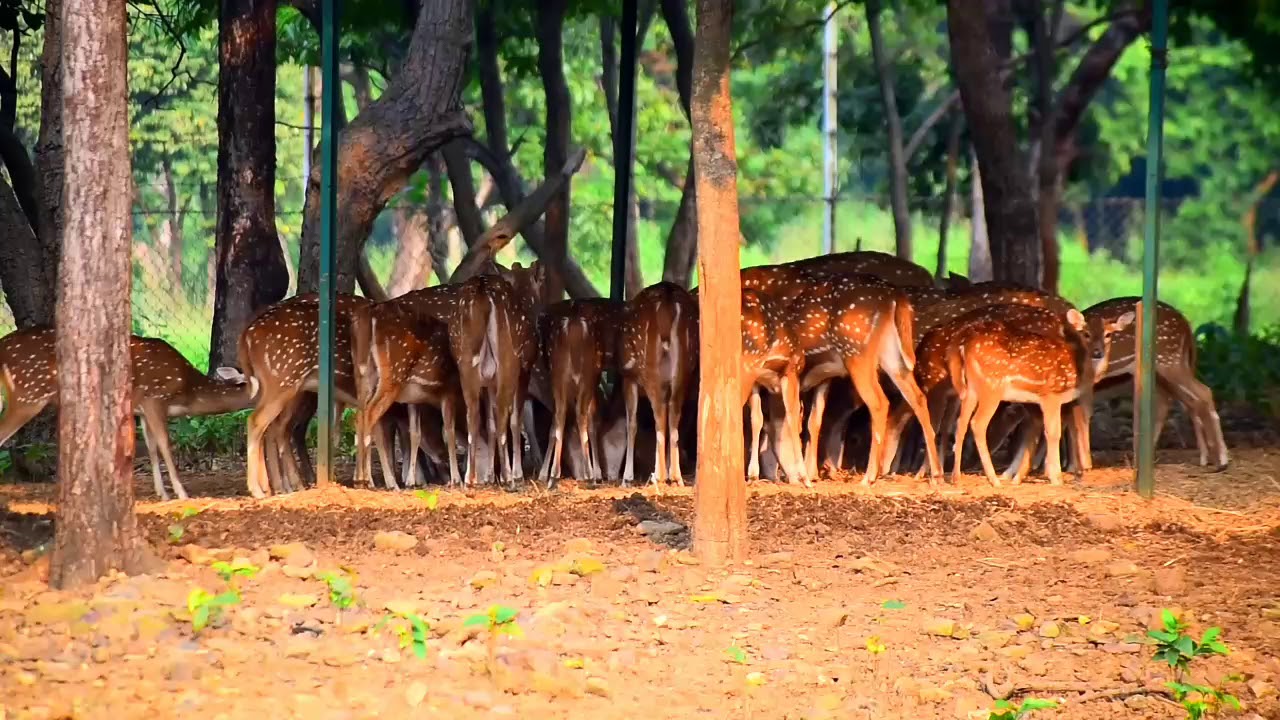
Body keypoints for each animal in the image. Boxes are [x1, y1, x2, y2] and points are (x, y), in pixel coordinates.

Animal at [0, 326, 254, 500]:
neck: (187, 391)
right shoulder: (155, 398)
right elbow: (165, 444)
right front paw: (181, 493)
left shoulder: (140, 410)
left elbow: (151, 448)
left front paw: (162, 493)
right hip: (28, 394)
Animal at [536, 297, 624, 487]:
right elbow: (592, 422)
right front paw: (596, 473)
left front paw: (543, 474)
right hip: (587, 375)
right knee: (580, 414)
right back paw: (587, 475)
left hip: (562, 376)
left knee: (562, 415)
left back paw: (555, 475)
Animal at [619, 281, 699, 488]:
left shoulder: (628, 377)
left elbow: (631, 424)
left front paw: (627, 477)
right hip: (684, 367)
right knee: (674, 415)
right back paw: (676, 476)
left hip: (649, 368)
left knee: (660, 416)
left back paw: (659, 475)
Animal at [947, 306, 1134, 486]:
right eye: (1086, 333)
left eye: (1108, 334)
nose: (1097, 352)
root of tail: (963, 346)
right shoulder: (1051, 395)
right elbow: (1053, 432)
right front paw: (1056, 478)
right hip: (992, 387)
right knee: (977, 424)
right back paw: (994, 480)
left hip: (970, 388)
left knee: (961, 423)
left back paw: (956, 478)